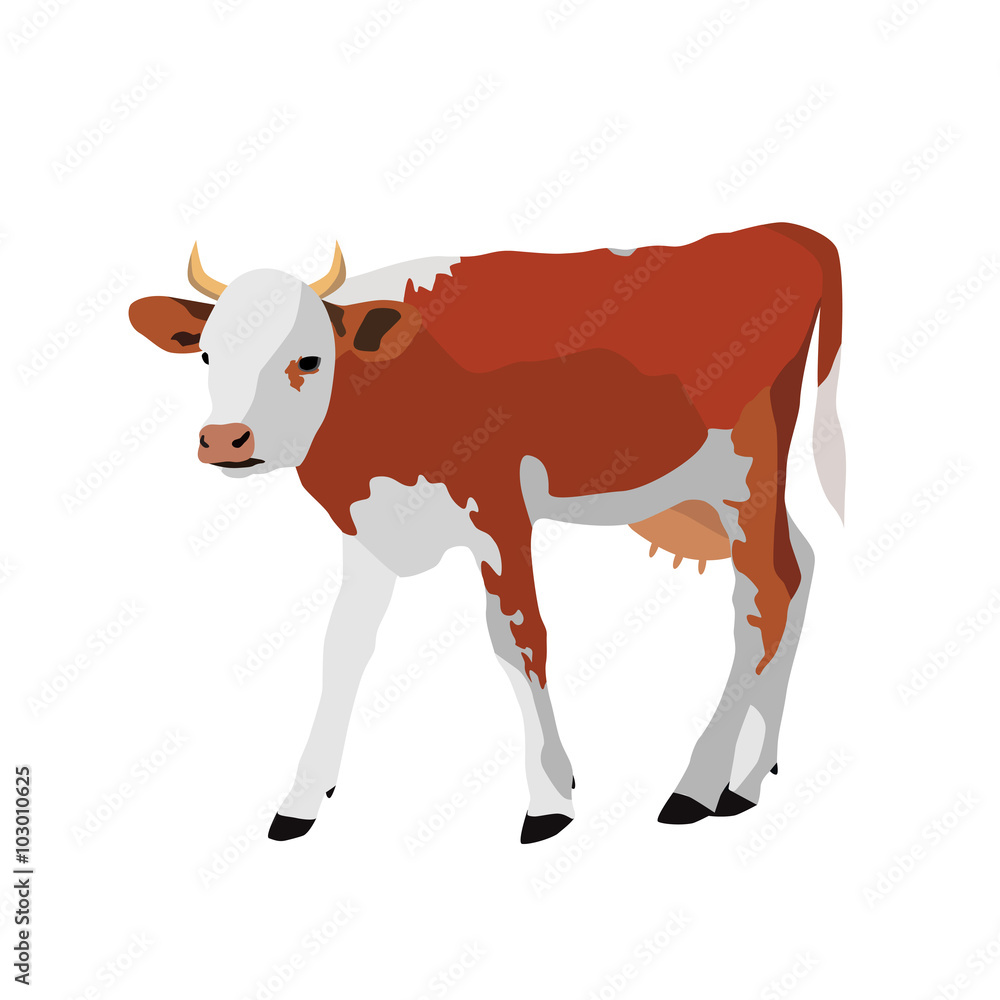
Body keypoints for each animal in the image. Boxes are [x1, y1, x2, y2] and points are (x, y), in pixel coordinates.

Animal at [129, 224, 844, 844]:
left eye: (308, 359)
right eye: (207, 353)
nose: (225, 439)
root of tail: (782, 231)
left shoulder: (499, 511)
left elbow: (519, 639)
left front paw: (551, 800)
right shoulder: (368, 528)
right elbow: (342, 650)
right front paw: (302, 799)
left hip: (746, 473)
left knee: (765, 597)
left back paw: (699, 783)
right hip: (708, 493)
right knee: (797, 570)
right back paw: (748, 777)